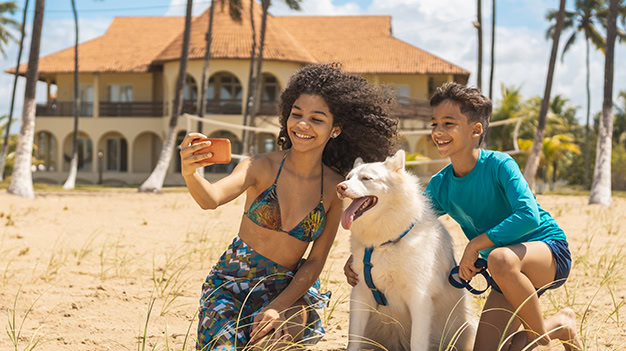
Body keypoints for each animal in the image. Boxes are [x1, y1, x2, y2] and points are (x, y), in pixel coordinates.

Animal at [336, 151, 472, 351]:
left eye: (366, 178)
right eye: (347, 178)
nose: (339, 187)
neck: (385, 243)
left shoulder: (419, 298)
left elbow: (417, 341)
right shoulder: (361, 294)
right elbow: (353, 339)